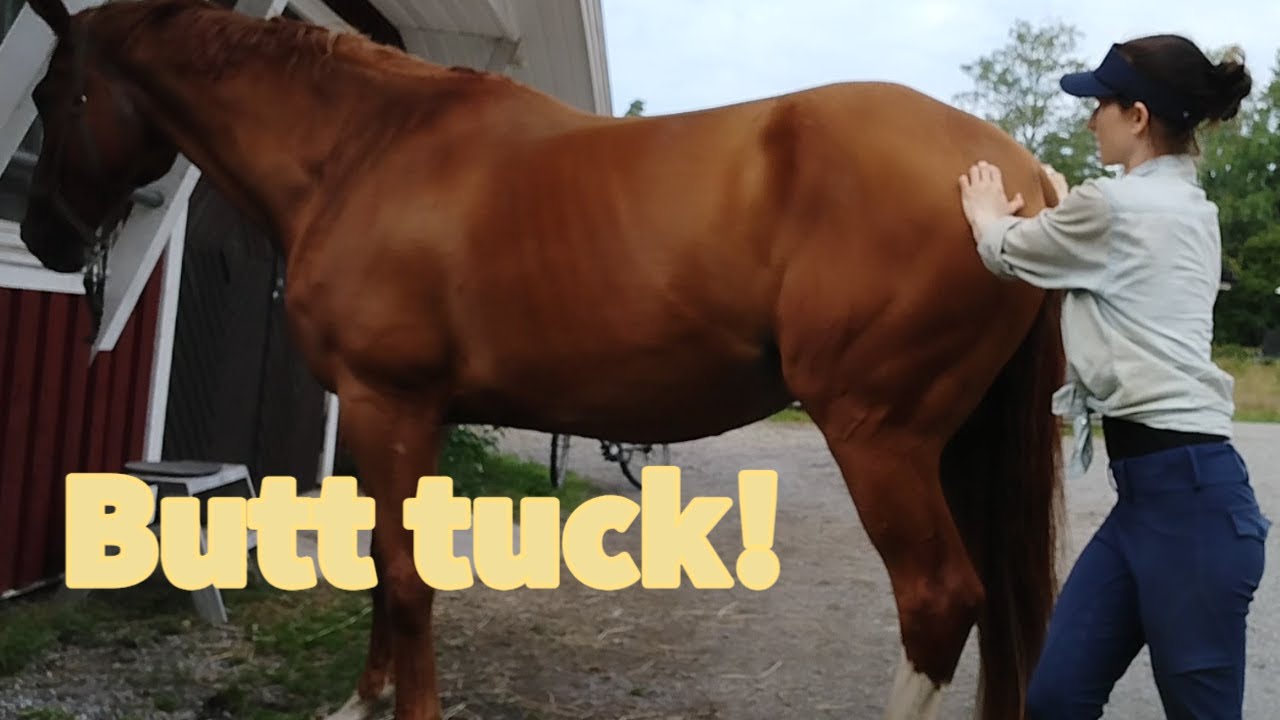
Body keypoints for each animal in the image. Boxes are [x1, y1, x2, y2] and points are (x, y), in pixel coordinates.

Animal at [17, 0, 1067, 718]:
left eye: (46, 96)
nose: (43, 237)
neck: (365, 151)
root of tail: (1018, 175)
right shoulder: (388, 414)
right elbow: (386, 565)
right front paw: (363, 698)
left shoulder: (387, 404)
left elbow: (406, 577)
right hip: (952, 448)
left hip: (879, 439)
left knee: (939, 602)